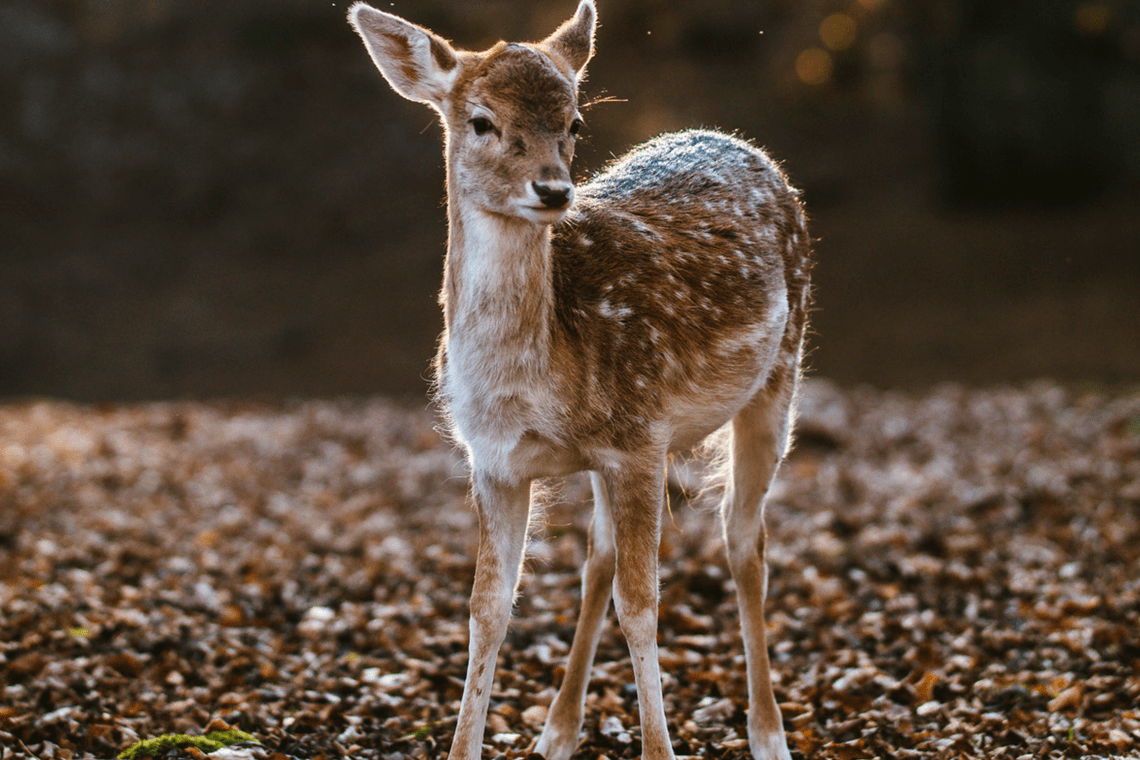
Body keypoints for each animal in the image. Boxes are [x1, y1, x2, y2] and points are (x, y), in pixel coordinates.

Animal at [347, 2, 810, 759]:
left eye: (574, 124)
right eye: (481, 120)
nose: (554, 188)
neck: (530, 385)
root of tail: (741, 144)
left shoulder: (642, 438)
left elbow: (642, 604)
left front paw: (659, 749)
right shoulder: (494, 462)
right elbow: (487, 607)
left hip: (781, 373)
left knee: (745, 542)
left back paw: (769, 734)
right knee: (598, 557)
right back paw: (557, 731)